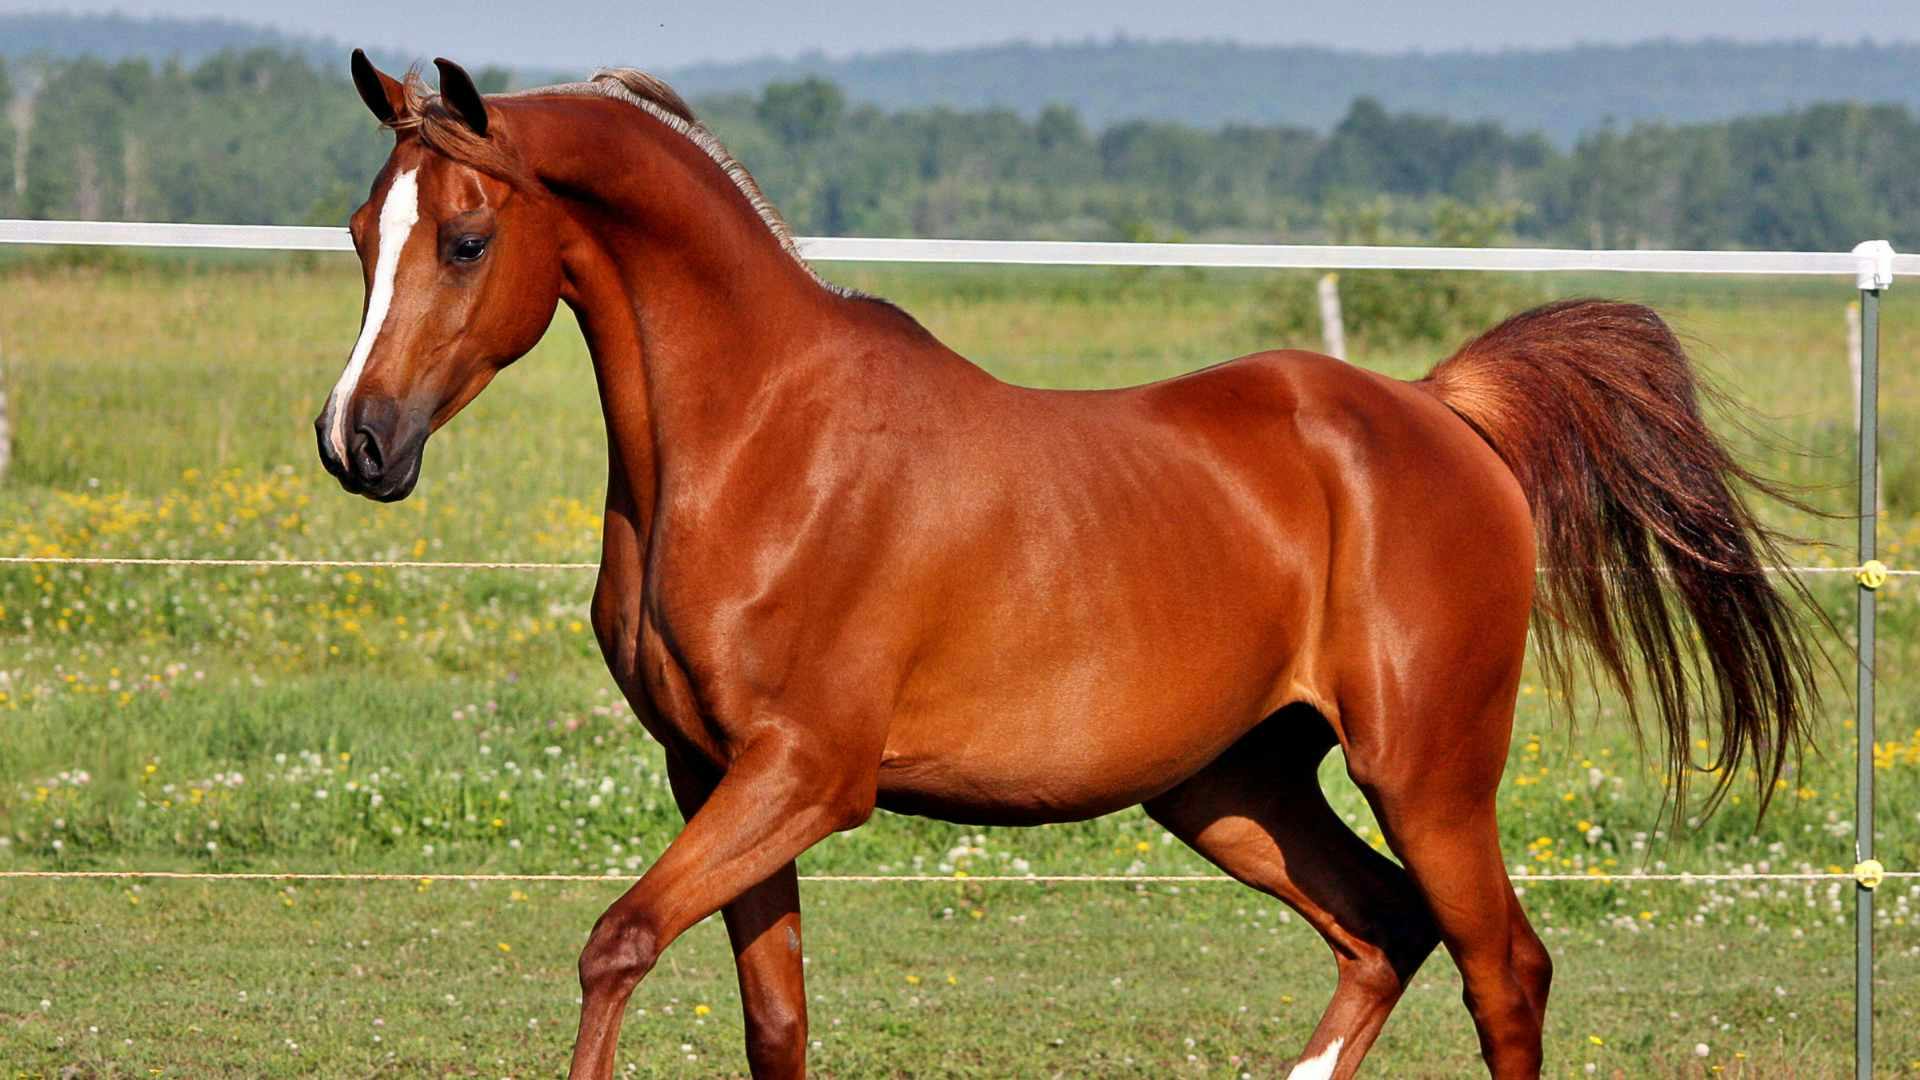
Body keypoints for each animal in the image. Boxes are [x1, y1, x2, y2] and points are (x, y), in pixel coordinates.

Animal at [314, 51, 1817, 1080]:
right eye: (358, 234)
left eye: (467, 239)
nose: (355, 442)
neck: (758, 439)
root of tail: (1441, 412)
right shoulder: (713, 775)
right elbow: (775, 1023)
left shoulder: (804, 778)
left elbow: (616, 942)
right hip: (1233, 787)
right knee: (1383, 930)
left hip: (1428, 773)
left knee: (1503, 969)